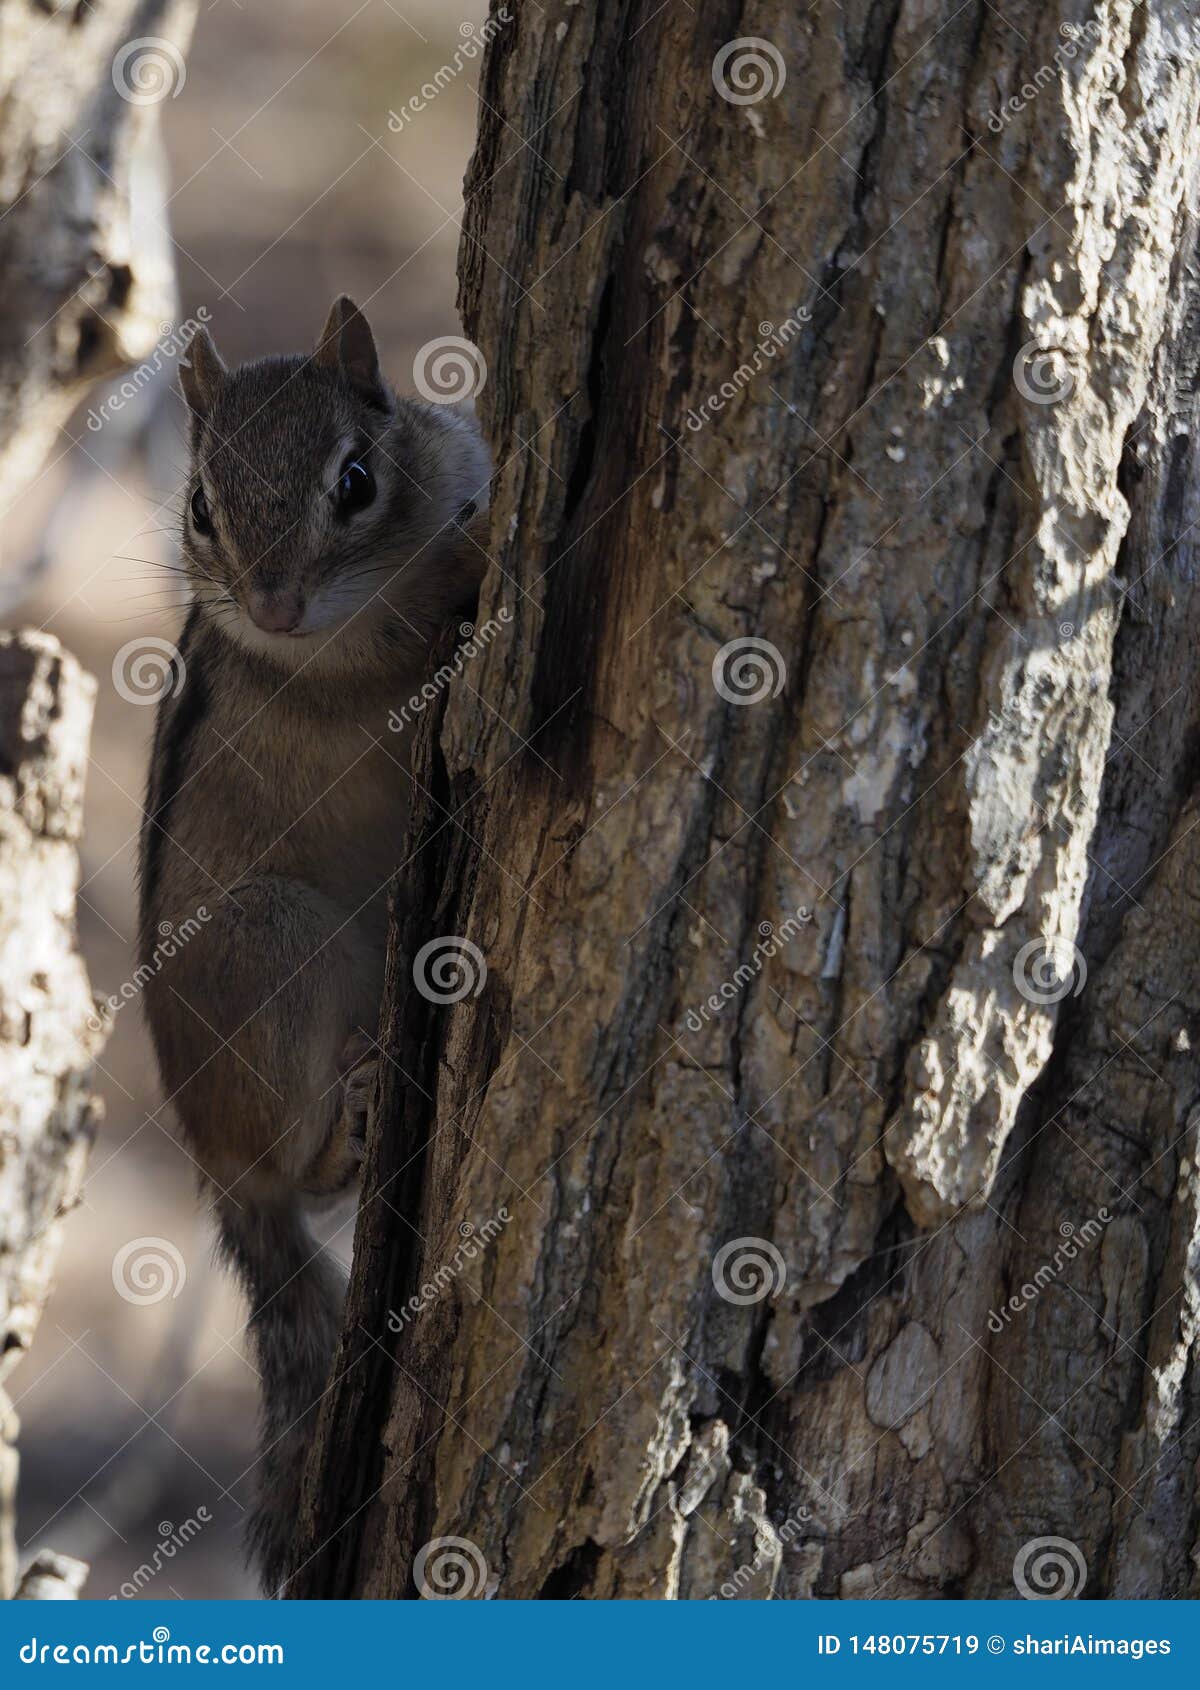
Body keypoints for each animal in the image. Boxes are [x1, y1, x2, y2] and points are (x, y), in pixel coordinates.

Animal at [135, 297, 490, 1591]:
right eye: (200, 506)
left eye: (356, 479)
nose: (276, 606)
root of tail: (215, 1167)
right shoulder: (353, 663)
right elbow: (418, 628)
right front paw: (475, 559)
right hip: (275, 938)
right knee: (308, 1167)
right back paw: (353, 1103)